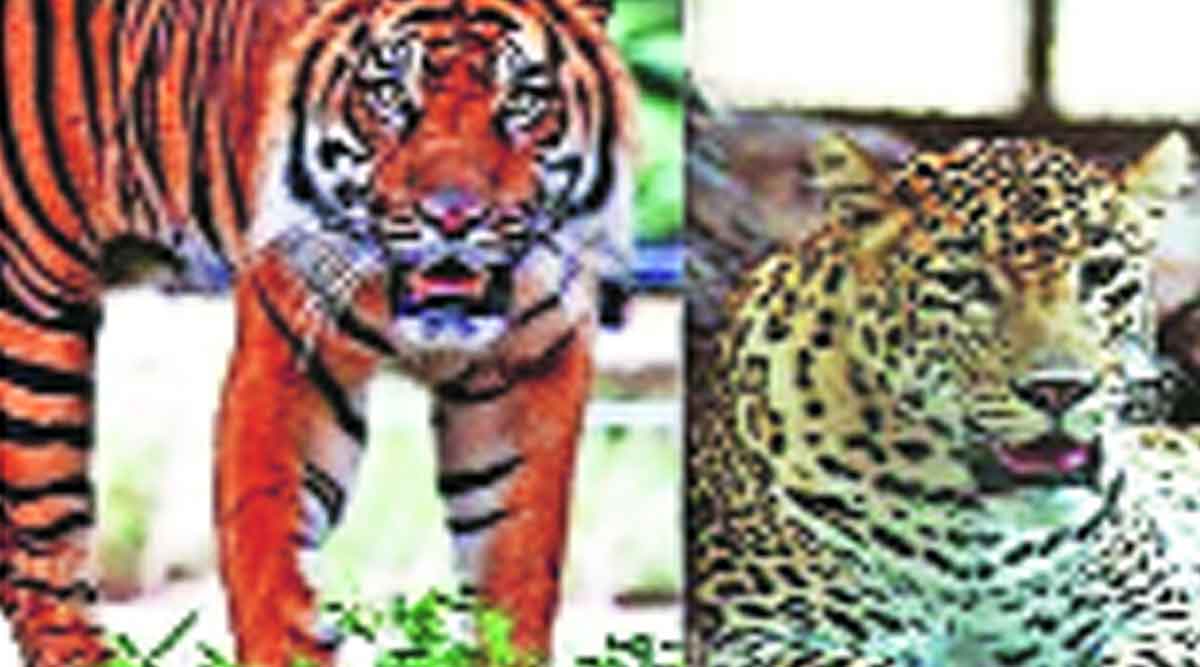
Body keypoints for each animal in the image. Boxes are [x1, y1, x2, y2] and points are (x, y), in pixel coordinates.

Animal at [0, 0, 638, 665]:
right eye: (389, 97)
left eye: (522, 102)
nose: (453, 217)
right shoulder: (292, 359)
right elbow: (272, 559)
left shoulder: (529, 371)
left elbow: (514, 564)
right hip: (35, 317)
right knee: (41, 551)